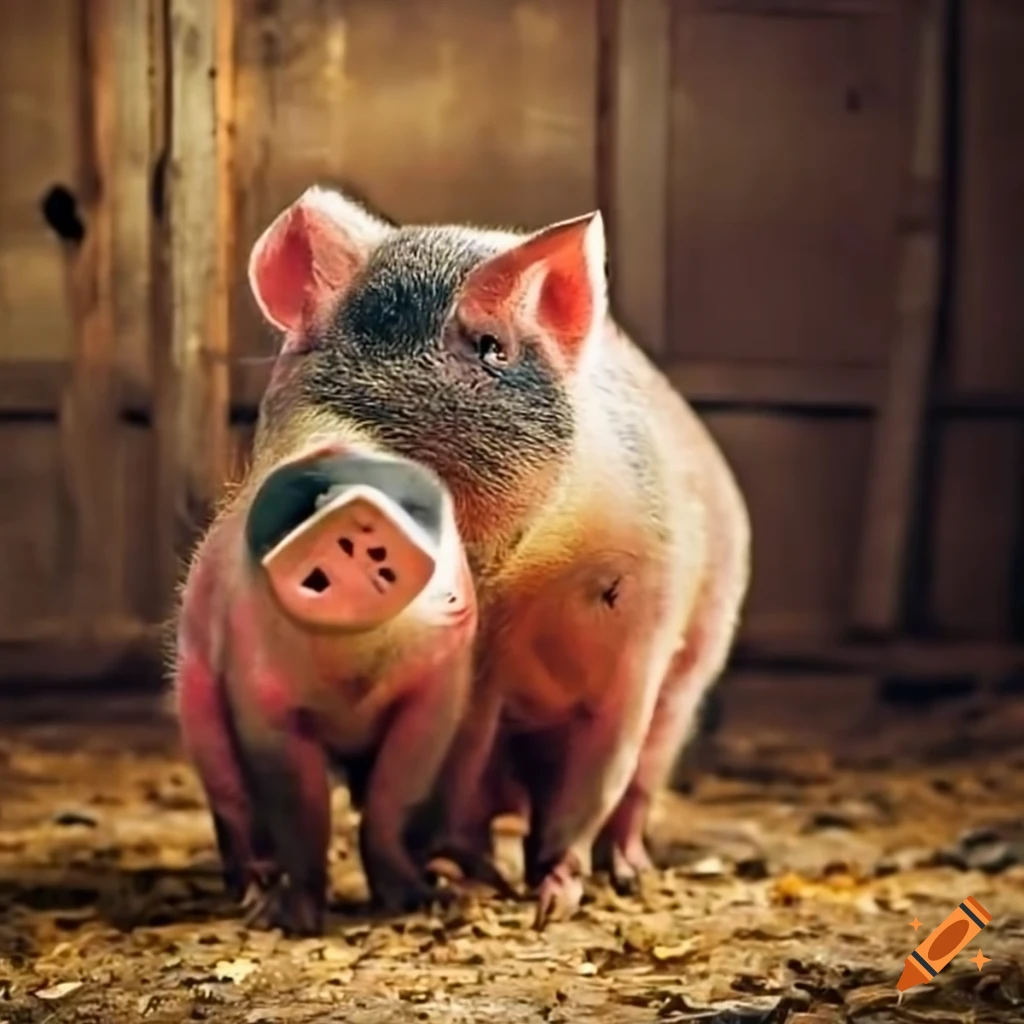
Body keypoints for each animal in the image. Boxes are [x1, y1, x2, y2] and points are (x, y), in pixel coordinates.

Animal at [212, 185, 751, 930]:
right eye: (315, 343)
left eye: (491, 347)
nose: (331, 459)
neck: (527, 583)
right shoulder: (472, 678)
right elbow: (453, 774)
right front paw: (457, 882)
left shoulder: (645, 629)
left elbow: (598, 774)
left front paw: (550, 905)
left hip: (691, 672)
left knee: (640, 780)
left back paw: (627, 873)